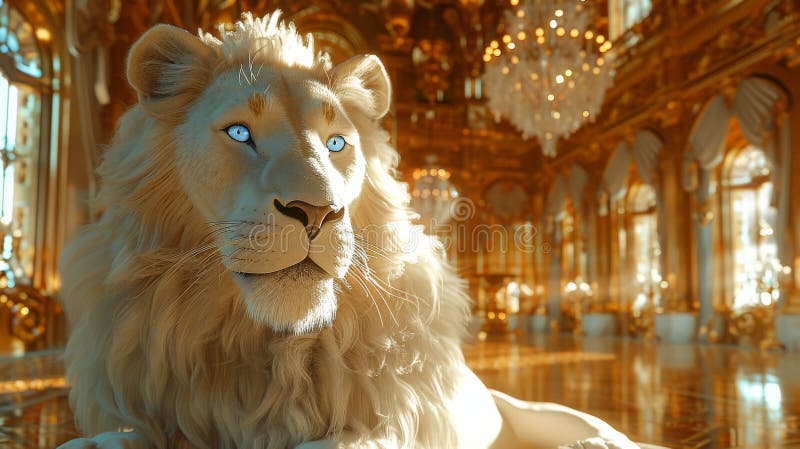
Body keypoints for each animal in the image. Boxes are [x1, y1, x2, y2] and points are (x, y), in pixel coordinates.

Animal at [58, 11, 643, 449]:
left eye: (337, 142)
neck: (265, 346)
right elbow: (101, 440)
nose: (316, 212)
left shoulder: (400, 418)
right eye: (240, 133)